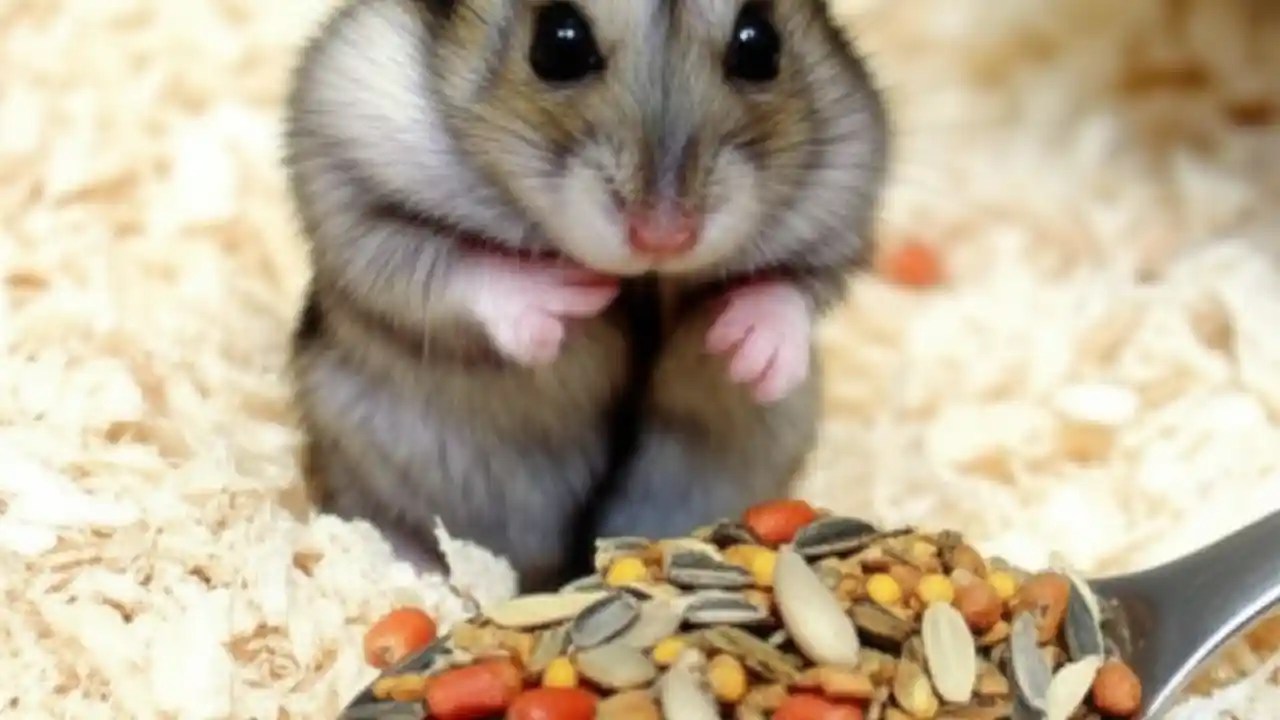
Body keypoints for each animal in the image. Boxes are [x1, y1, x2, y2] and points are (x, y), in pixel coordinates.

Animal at [283, 0, 887, 592]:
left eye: (760, 45)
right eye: (559, 44)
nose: (665, 237)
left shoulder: (842, 206)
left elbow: (793, 285)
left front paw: (748, 352)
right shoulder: (350, 177)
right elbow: (453, 266)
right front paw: (578, 297)